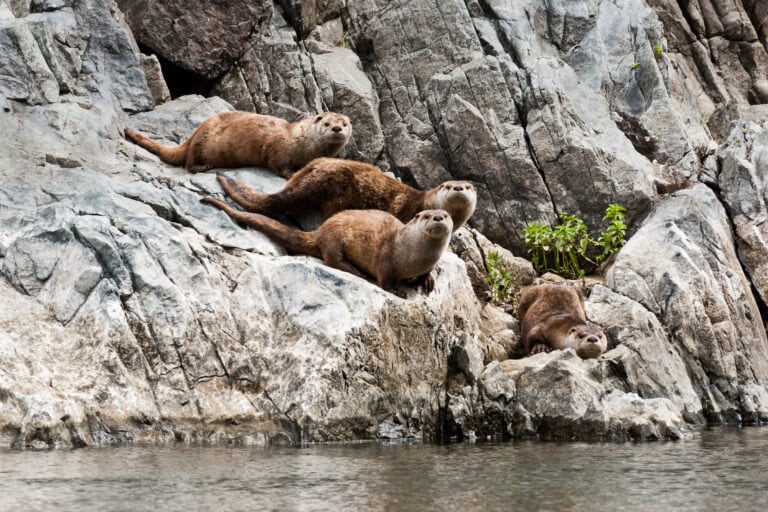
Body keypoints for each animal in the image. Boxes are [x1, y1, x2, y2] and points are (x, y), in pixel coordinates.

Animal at [124, 111, 351, 178]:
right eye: (327, 123)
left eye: (345, 123)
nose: (336, 128)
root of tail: (194, 133)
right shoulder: (280, 148)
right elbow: (279, 165)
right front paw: (292, 173)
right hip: (201, 142)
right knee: (188, 164)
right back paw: (203, 167)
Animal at [201, 196, 453, 297]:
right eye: (426, 216)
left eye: (446, 214)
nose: (438, 217)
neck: (414, 256)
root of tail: (322, 229)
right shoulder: (387, 259)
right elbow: (385, 279)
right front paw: (398, 290)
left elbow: (427, 273)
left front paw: (428, 280)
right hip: (335, 238)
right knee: (332, 259)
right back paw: (356, 271)